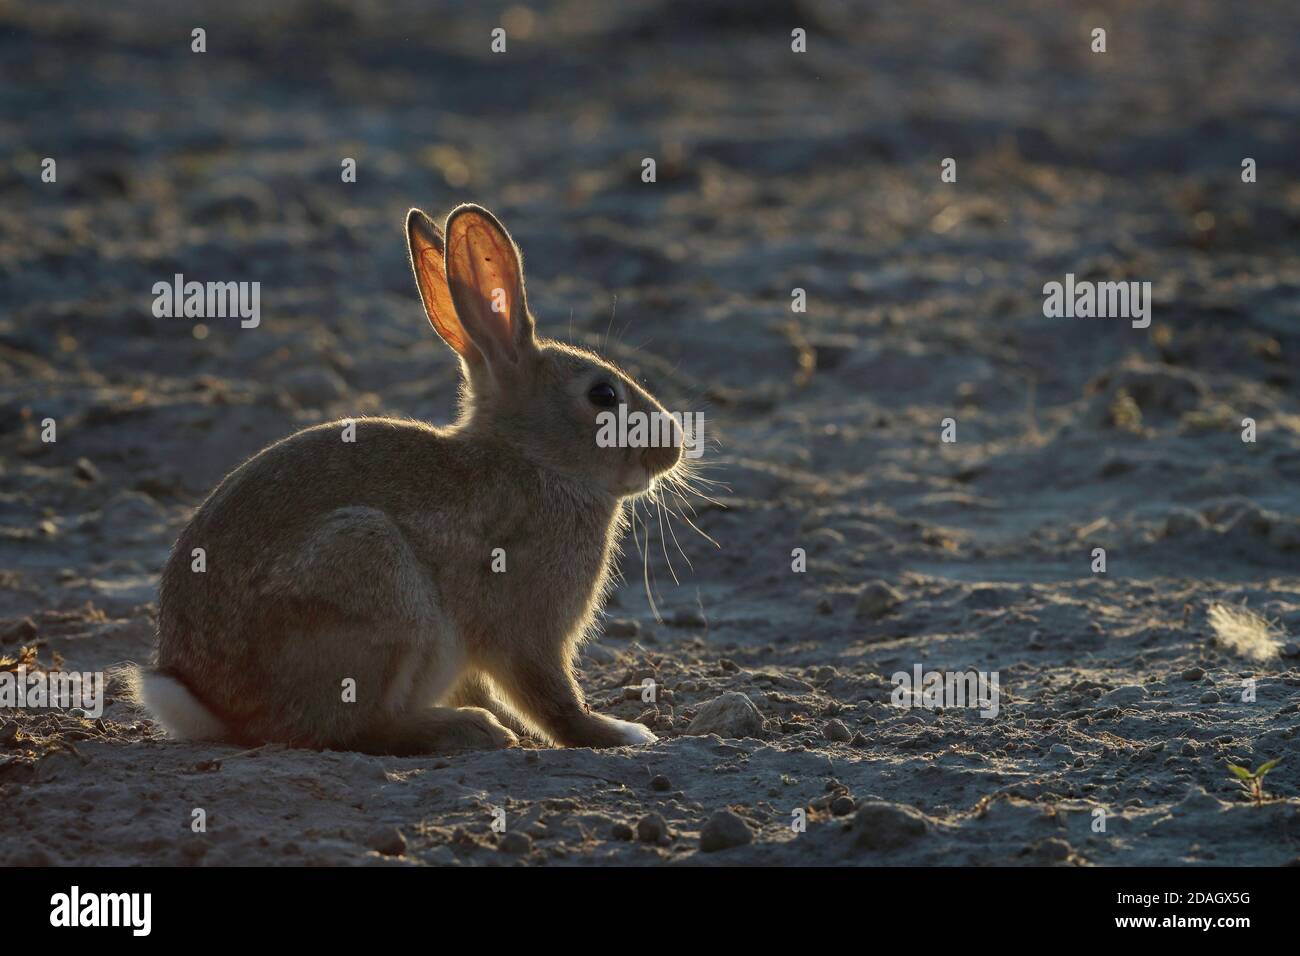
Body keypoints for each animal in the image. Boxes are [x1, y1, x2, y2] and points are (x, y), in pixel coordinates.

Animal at [130, 203, 682, 755]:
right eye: (603, 396)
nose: (672, 445)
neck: (534, 458)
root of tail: (212, 704)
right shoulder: (528, 626)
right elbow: (551, 698)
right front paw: (621, 733)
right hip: (374, 576)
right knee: (349, 728)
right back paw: (465, 728)